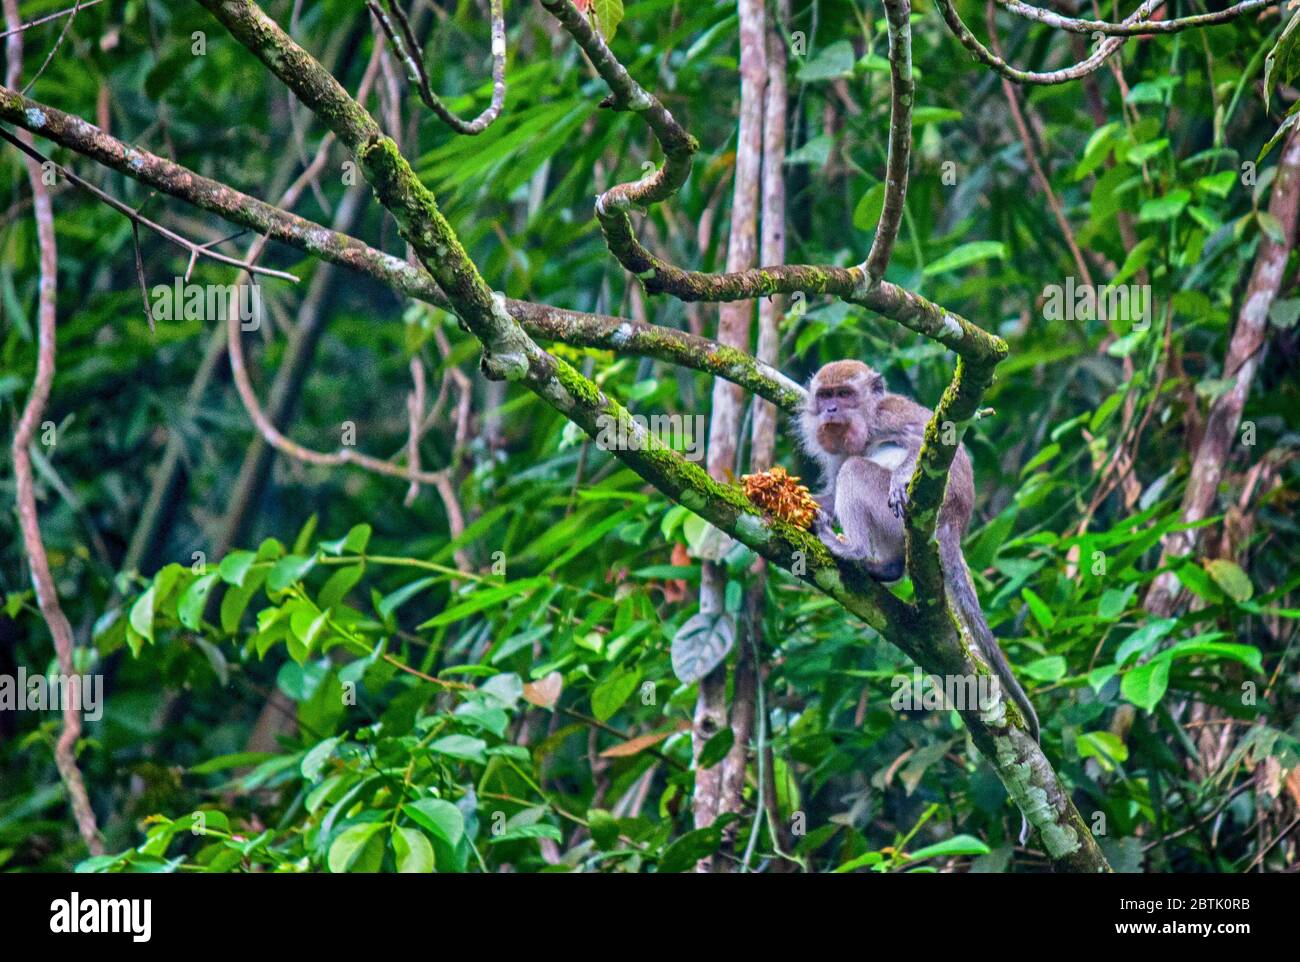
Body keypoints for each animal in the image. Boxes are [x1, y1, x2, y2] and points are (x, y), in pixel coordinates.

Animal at [800, 359, 1040, 742]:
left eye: (844, 394)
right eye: (825, 396)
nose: (831, 410)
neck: (866, 421)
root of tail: (953, 526)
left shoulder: (888, 416)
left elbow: (922, 444)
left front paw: (900, 479)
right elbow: (831, 488)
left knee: (858, 469)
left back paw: (854, 551)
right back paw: (886, 567)